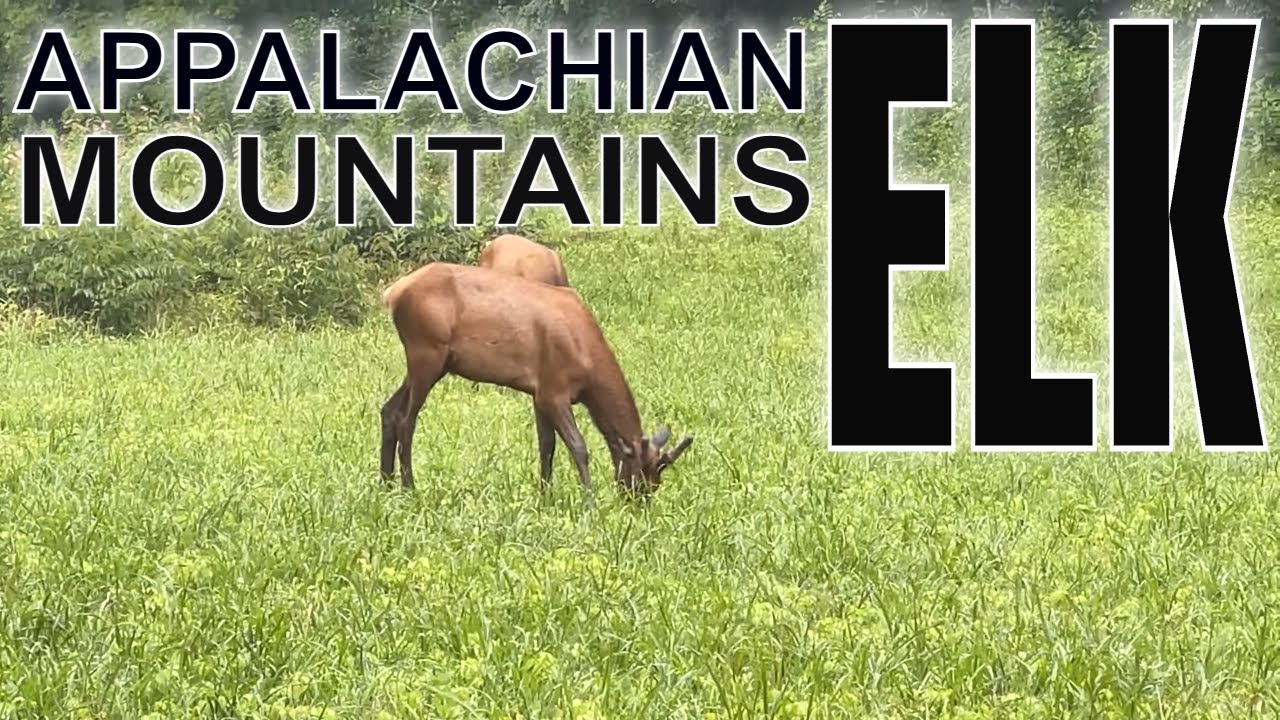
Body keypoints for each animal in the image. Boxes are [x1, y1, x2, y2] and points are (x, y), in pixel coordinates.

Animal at [378, 261, 693, 507]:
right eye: (642, 473)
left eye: (657, 476)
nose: (639, 504)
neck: (588, 364)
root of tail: (392, 294)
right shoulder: (554, 390)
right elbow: (578, 446)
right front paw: (589, 504)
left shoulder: (539, 391)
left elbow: (546, 445)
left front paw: (544, 497)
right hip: (426, 351)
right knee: (406, 418)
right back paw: (409, 488)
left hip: (432, 362)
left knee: (388, 410)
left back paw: (385, 484)